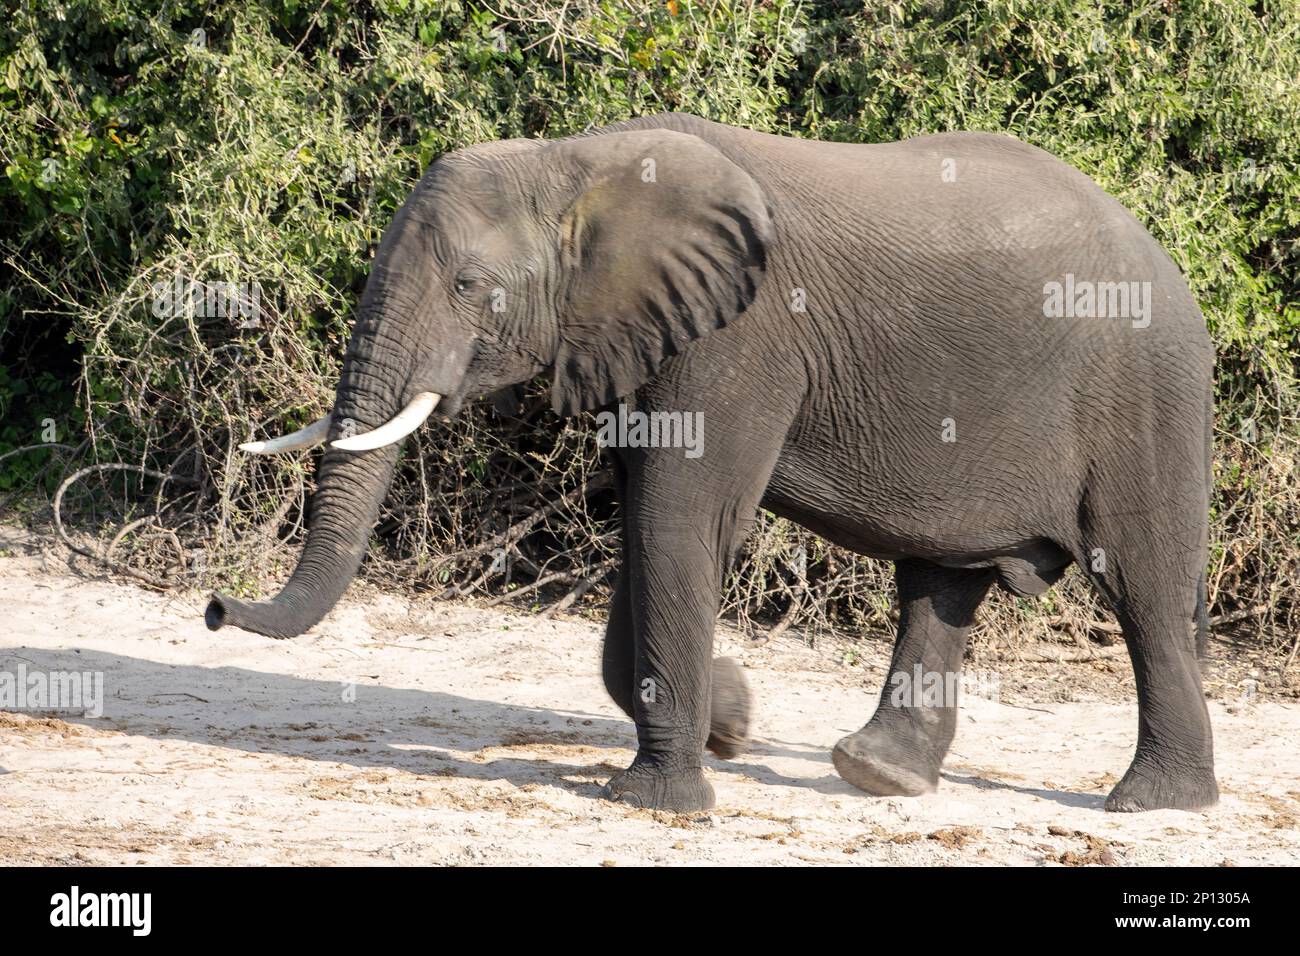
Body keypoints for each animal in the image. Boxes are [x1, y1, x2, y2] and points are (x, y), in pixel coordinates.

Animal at [206, 112, 1218, 815]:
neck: (576, 164)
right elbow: (644, 523)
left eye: (469, 287)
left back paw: (1150, 803)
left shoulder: (736, 342)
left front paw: (659, 803)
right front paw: (732, 719)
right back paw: (876, 775)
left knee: (1140, 580)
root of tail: (1171, 264)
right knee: (942, 578)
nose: (216, 606)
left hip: (1145, 392)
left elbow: (680, 518)